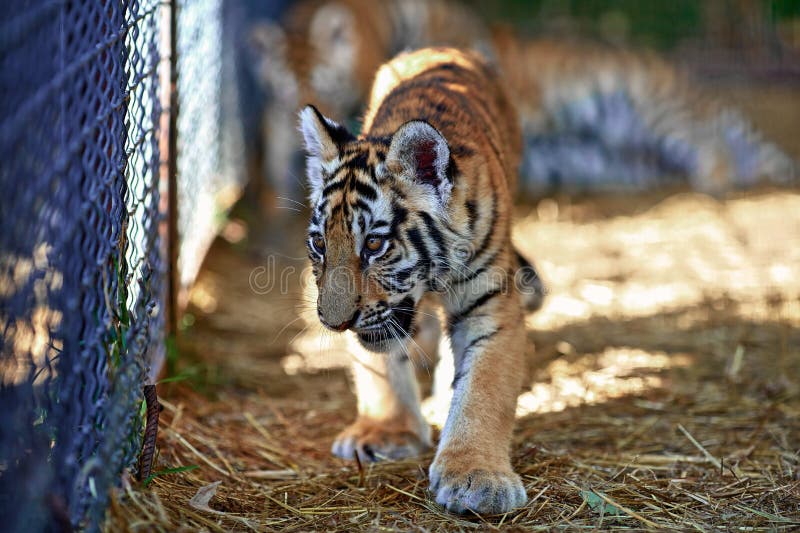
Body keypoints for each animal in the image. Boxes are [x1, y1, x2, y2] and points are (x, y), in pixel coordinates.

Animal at [298, 47, 529, 514]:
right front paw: (385, 433)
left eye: (373, 244)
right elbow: (379, 369)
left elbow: (484, 387)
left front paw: (477, 478)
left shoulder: (491, 305)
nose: (334, 323)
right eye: (319, 243)